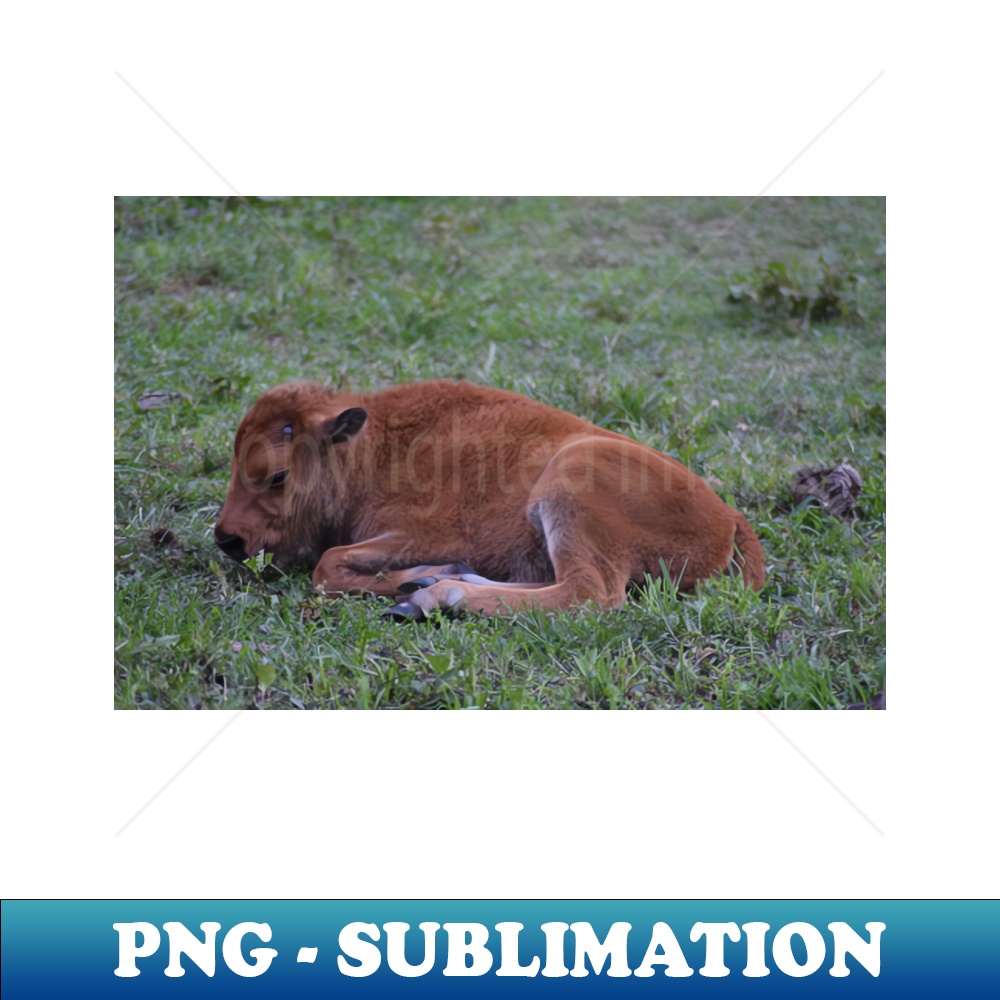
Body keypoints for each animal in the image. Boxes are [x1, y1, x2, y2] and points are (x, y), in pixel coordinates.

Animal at [214, 380, 766, 619]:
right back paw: (431, 587)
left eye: (277, 475)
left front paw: (419, 579)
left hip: (570, 484)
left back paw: (434, 595)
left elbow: (327, 564)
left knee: (589, 593)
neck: (373, 446)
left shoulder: (425, 533)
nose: (228, 539)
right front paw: (420, 578)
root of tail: (729, 516)